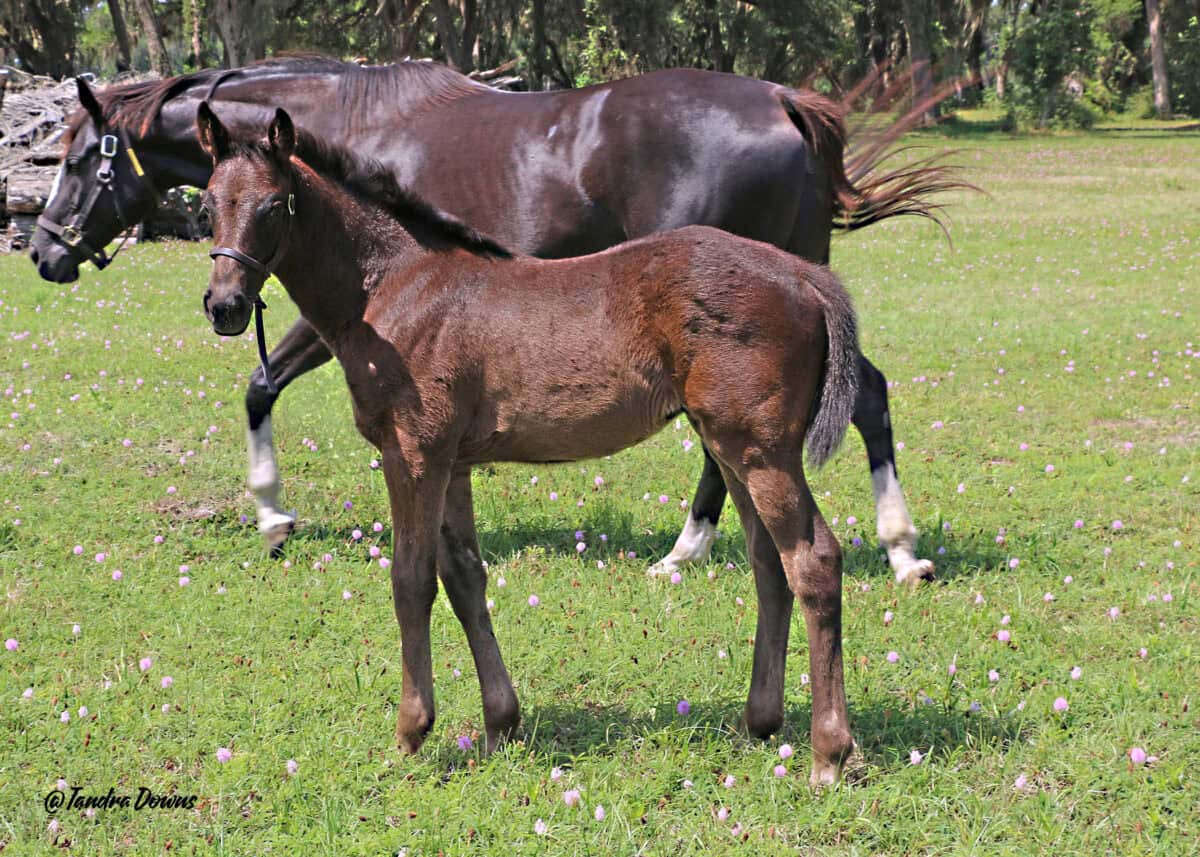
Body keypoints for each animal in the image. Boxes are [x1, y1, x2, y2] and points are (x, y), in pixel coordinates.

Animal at [31, 56, 957, 584]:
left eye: (78, 160)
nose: (43, 252)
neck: (349, 123)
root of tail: (780, 101)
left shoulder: (337, 321)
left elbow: (260, 385)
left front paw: (271, 514)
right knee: (858, 397)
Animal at [197, 102, 862, 785]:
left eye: (274, 205)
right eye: (207, 205)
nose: (225, 305)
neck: (395, 286)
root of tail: (804, 274)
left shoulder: (412, 454)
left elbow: (411, 579)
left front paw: (412, 731)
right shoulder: (452, 462)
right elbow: (464, 578)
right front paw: (499, 725)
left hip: (762, 452)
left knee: (813, 561)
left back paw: (829, 753)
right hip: (730, 448)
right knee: (768, 564)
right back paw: (761, 721)